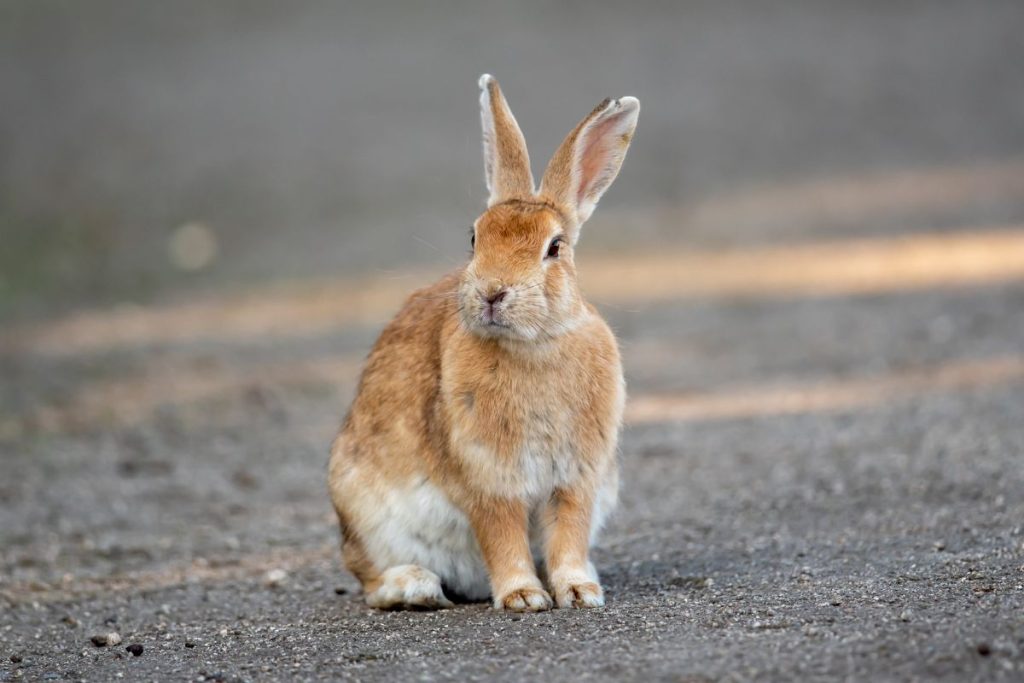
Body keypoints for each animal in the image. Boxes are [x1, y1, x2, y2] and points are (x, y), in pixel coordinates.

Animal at [328, 74, 639, 611]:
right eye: (474, 237)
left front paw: (579, 591)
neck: (535, 345)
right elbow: (503, 534)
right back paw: (414, 587)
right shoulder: (489, 479)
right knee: (368, 579)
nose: (493, 292)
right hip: (364, 509)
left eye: (555, 247)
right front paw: (523, 597)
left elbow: (568, 533)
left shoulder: (578, 478)